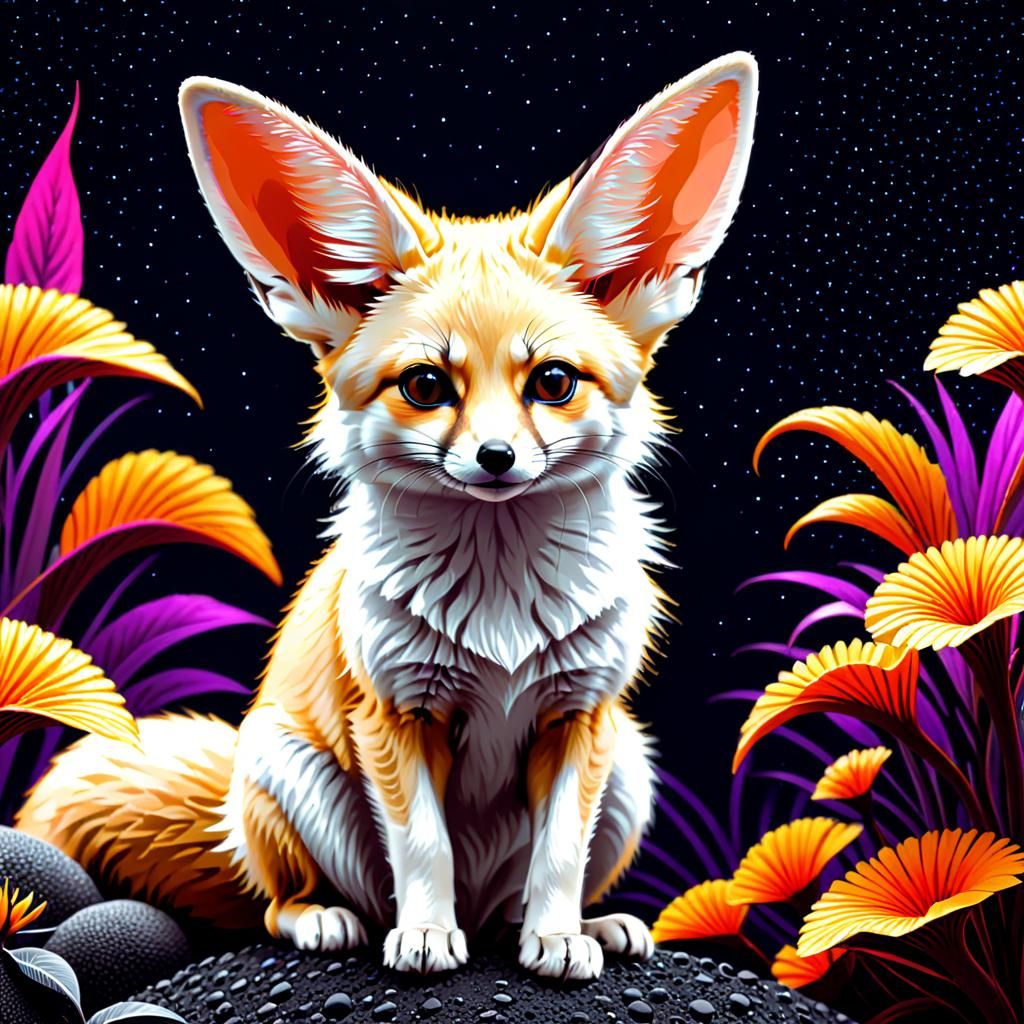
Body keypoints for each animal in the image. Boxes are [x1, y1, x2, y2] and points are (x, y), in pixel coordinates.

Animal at [17, 53, 758, 980]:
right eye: (426, 385)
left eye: (552, 382)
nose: (495, 459)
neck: (501, 608)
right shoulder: (396, 713)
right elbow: (423, 848)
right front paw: (427, 935)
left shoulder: (579, 713)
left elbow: (559, 851)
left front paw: (558, 937)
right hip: (290, 771)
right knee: (285, 901)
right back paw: (337, 919)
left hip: (629, 762)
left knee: (514, 899)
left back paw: (587, 926)